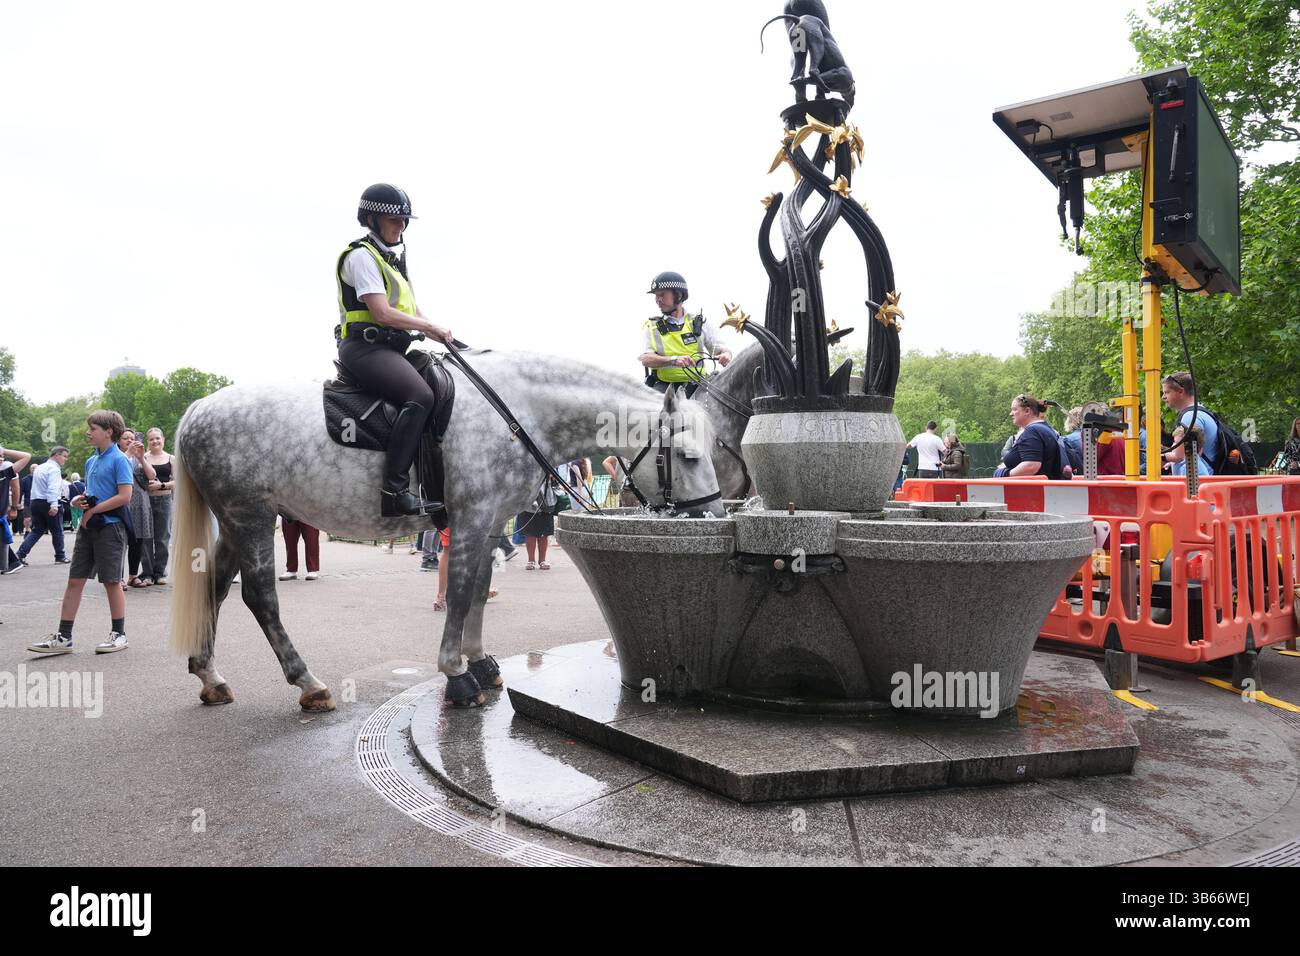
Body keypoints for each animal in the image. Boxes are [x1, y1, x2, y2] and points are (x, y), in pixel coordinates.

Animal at [168, 351, 725, 711]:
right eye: (689, 456)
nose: (710, 518)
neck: (519, 412)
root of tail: (197, 410)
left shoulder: (490, 520)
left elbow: (477, 589)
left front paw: (479, 662)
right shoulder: (472, 517)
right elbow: (458, 592)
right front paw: (457, 676)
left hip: (236, 524)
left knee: (214, 590)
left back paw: (210, 677)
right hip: (253, 517)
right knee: (260, 599)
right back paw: (308, 684)